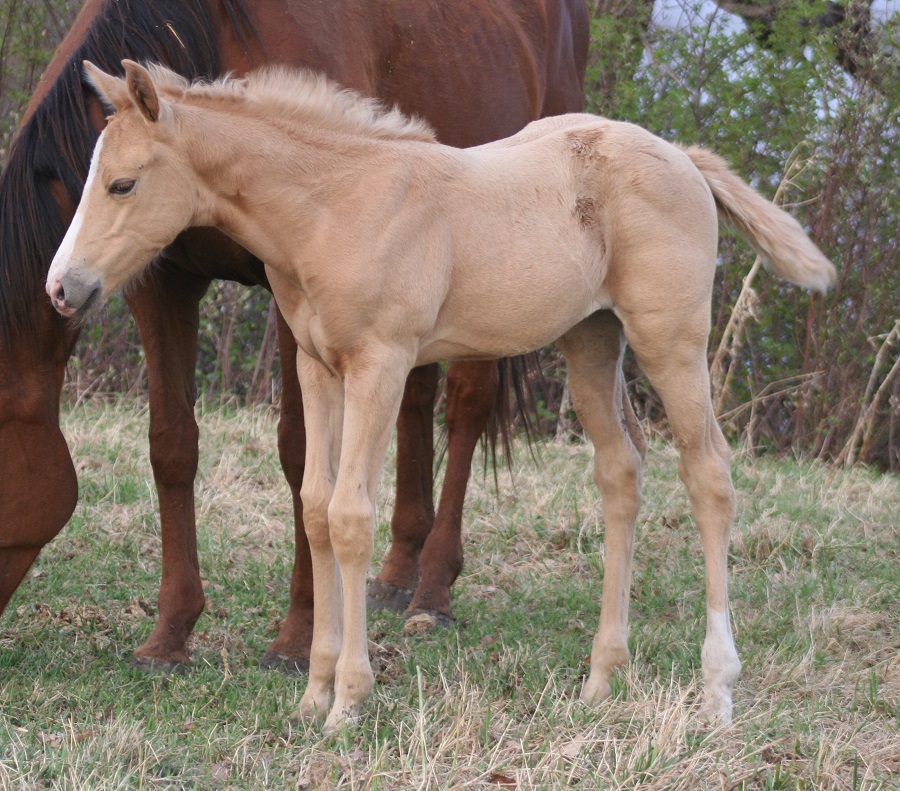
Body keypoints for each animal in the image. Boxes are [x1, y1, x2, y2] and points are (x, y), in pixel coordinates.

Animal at [0, 0, 589, 671]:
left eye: (122, 184)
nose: (60, 287)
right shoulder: (161, 284)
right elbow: (172, 446)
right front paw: (170, 633)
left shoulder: (295, 297)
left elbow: (303, 453)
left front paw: (299, 636)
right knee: (415, 400)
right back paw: (397, 572)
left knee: (467, 407)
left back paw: (433, 589)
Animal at [46, 60, 835, 731]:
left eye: (122, 184)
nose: (62, 289)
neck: (335, 205)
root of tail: (683, 158)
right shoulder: (317, 367)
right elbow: (314, 509)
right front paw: (312, 691)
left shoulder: (382, 364)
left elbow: (350, 516)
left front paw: (349, 700)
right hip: (591, 340)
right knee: (621, 473)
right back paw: (601, 678)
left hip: (670, 338)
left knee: (710, 477)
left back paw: (717, 691)